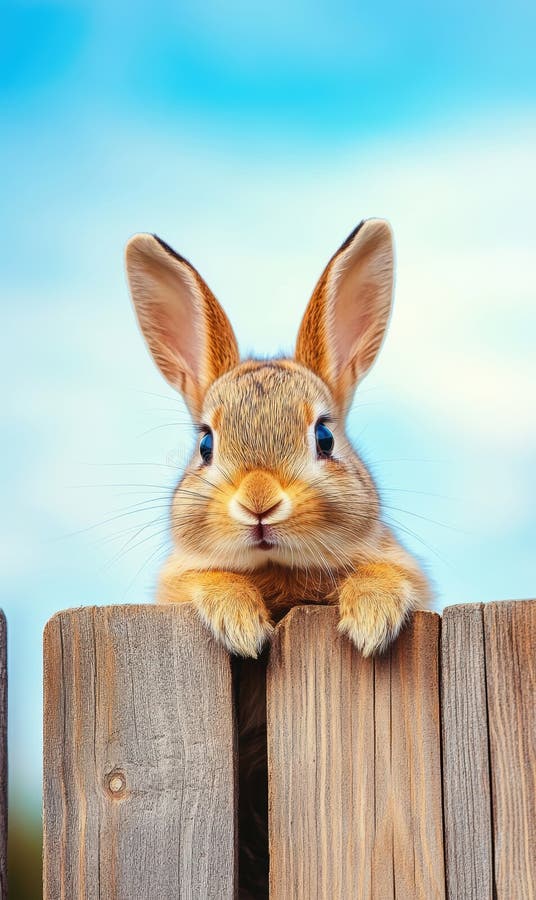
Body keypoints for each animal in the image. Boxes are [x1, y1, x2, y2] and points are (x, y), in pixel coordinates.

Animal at [125, 218, 431, 661]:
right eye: (205, 445)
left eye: (324, 437)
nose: (259, 502)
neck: (278, 565)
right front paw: (241, 623)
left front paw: (372, 618)